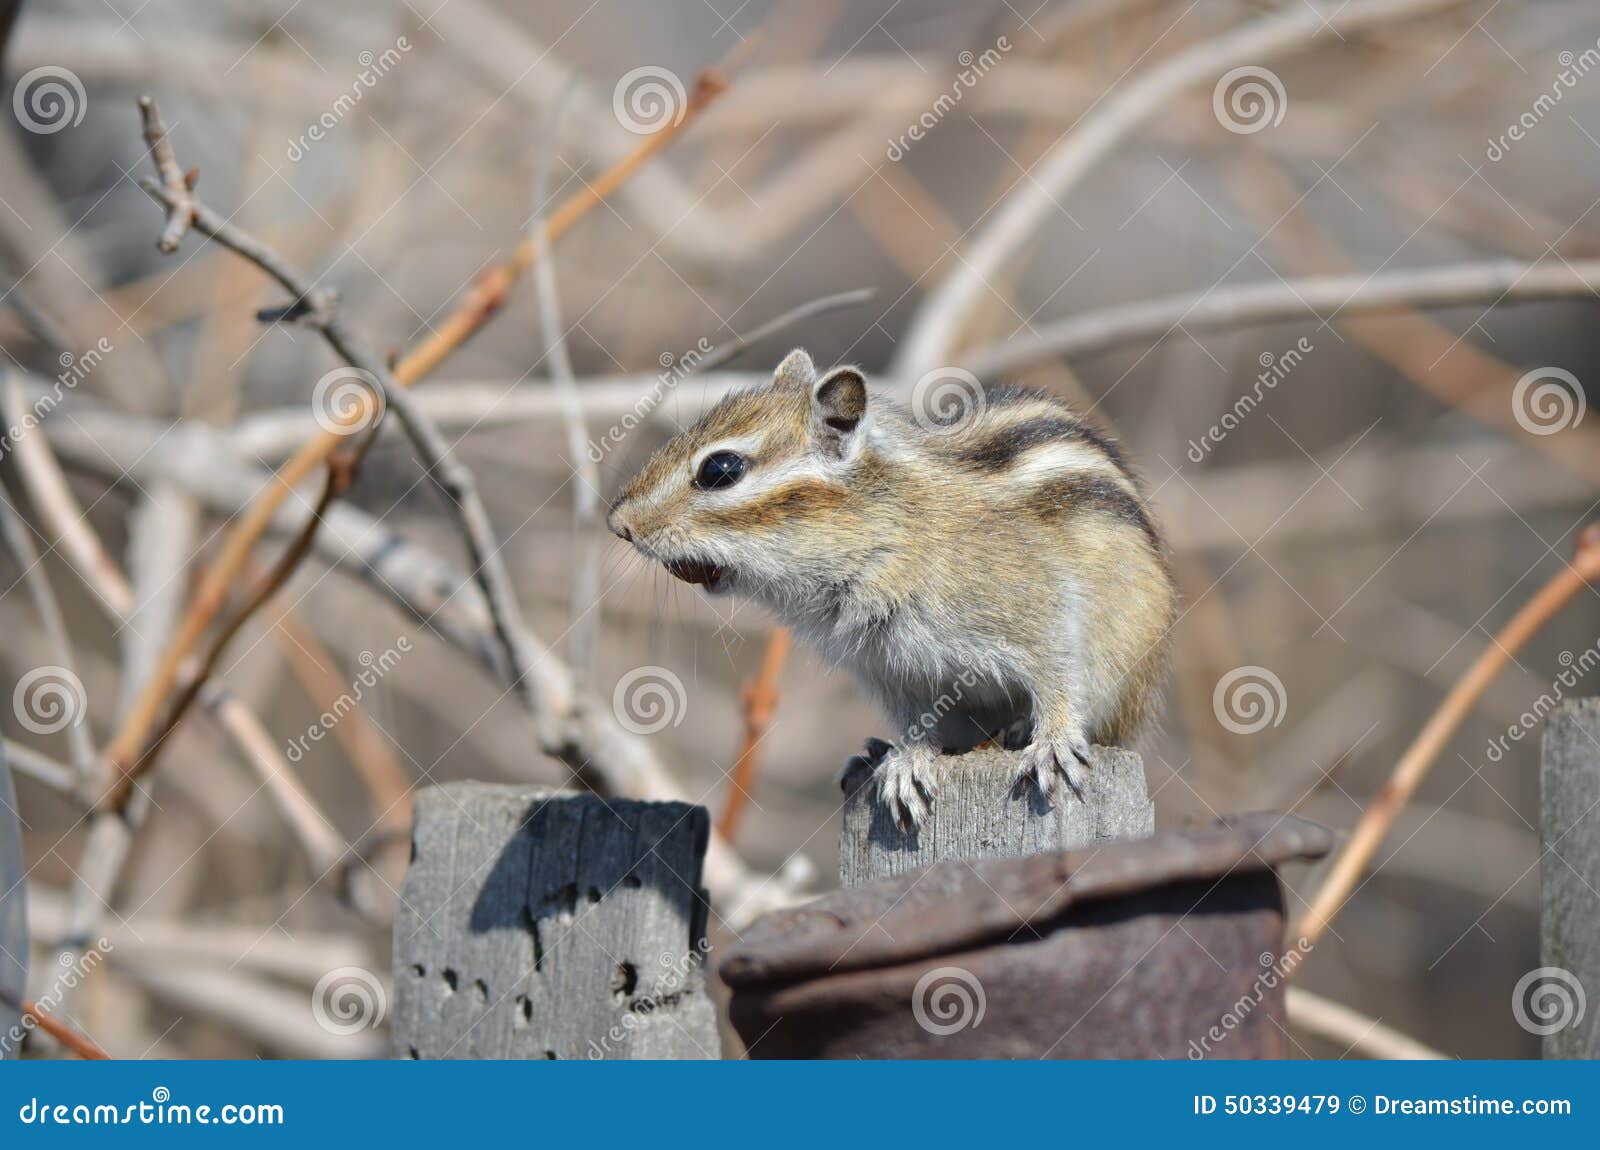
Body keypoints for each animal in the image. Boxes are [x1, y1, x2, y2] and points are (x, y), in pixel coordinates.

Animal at [607, 349, 1175, 828]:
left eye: (720, 470)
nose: (619, 524)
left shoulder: (1034, 604)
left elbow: (1056, 669)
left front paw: (1052, 743)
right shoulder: (891, 669)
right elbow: (919, 721)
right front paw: (907, 760)